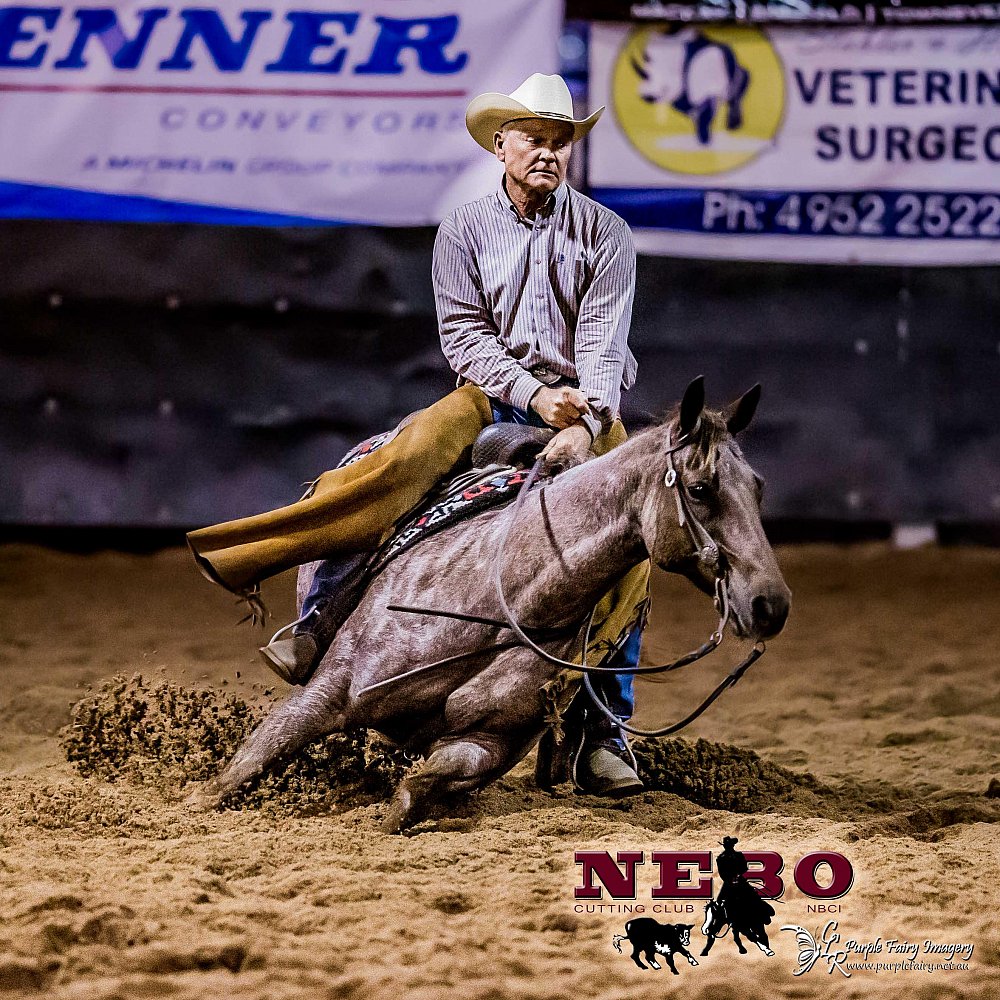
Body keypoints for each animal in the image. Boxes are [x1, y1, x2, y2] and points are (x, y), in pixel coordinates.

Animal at [185, 378, 791, 832]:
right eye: (701, 488)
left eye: (758, 487)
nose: (771, 604)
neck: (507, 603)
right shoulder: (329, 693)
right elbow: (248, 762)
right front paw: (192, 800)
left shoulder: (485, 744)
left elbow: (413, 794)